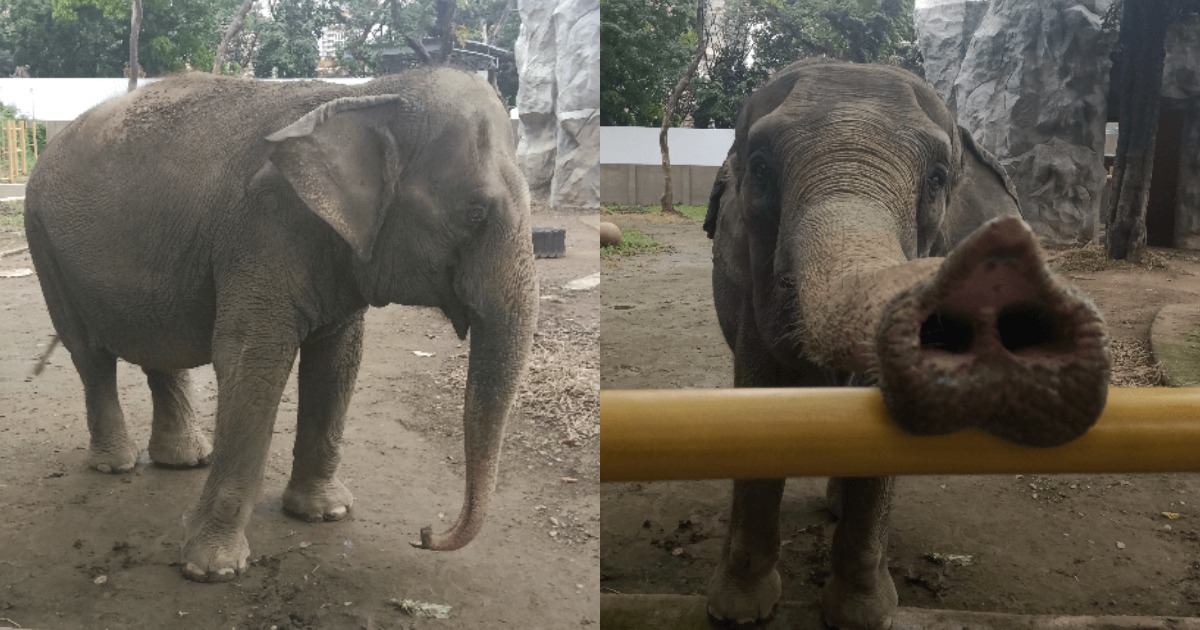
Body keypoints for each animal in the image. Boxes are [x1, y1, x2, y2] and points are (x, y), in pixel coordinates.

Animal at [23, 67, 537, 582]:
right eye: (474, 214)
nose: (426, 534)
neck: (367, 95)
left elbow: (337, 363)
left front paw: (326, 513)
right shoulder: (261, 231)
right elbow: (252, 360)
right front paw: (213, 570)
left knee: (159, 349)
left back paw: (185, 459)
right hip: (42, 242)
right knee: (89, 354)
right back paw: (116, 465)